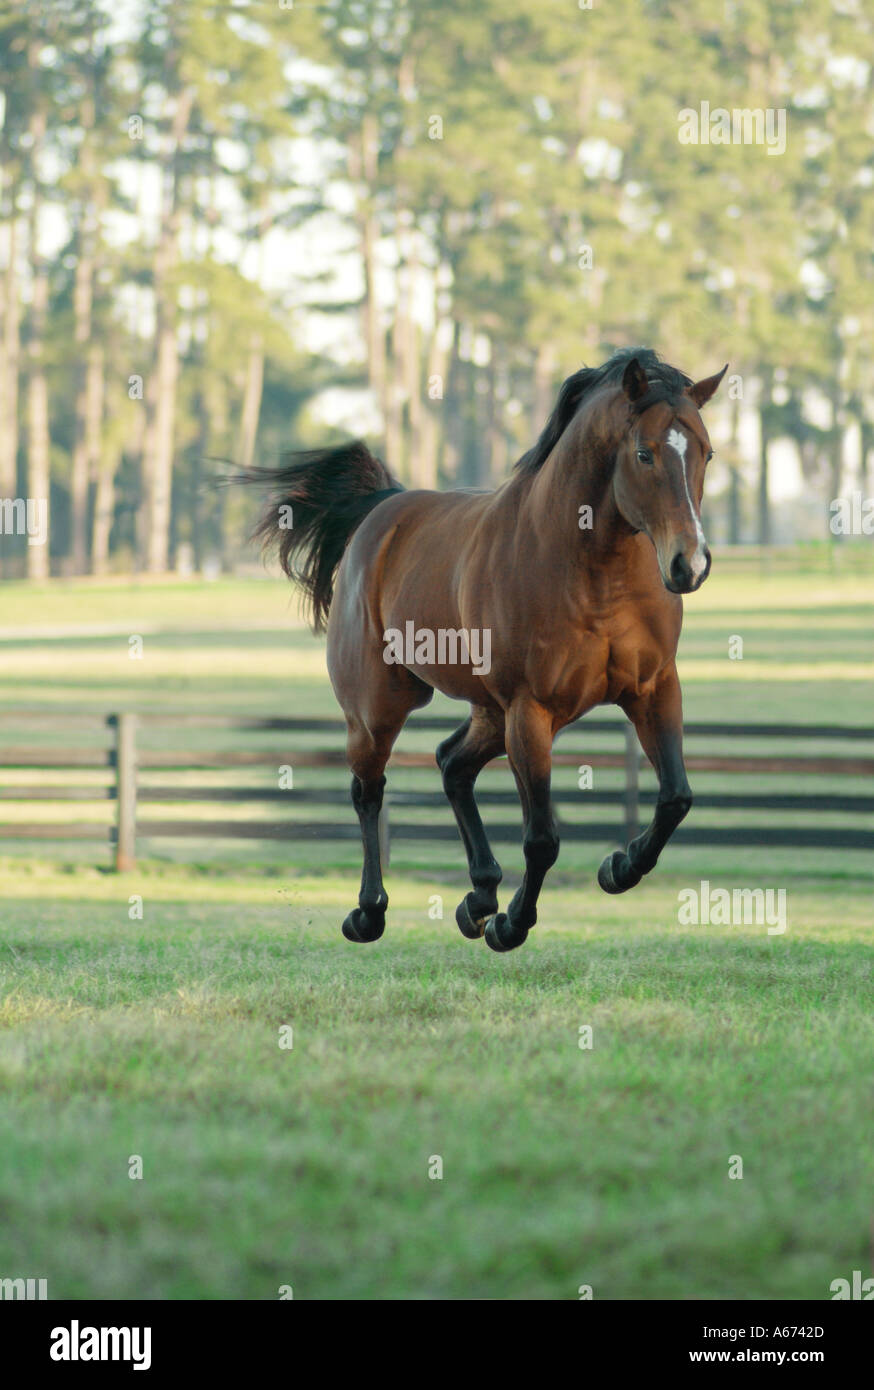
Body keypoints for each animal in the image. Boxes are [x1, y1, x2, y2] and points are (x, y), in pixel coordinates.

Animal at [241, 347, 727, 953]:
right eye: (644, 452)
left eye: (707, 451)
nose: (691, 564)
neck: (592, 573)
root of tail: (383, 509)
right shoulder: (531, 710)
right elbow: (542, 838)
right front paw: (511, 925)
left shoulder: (653, 688)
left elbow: (676, 797)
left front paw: (618, 868)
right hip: (382, 711)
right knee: (368, 789)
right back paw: (371, 912)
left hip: (490, 713)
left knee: (451, 764)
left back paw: (479, 895)